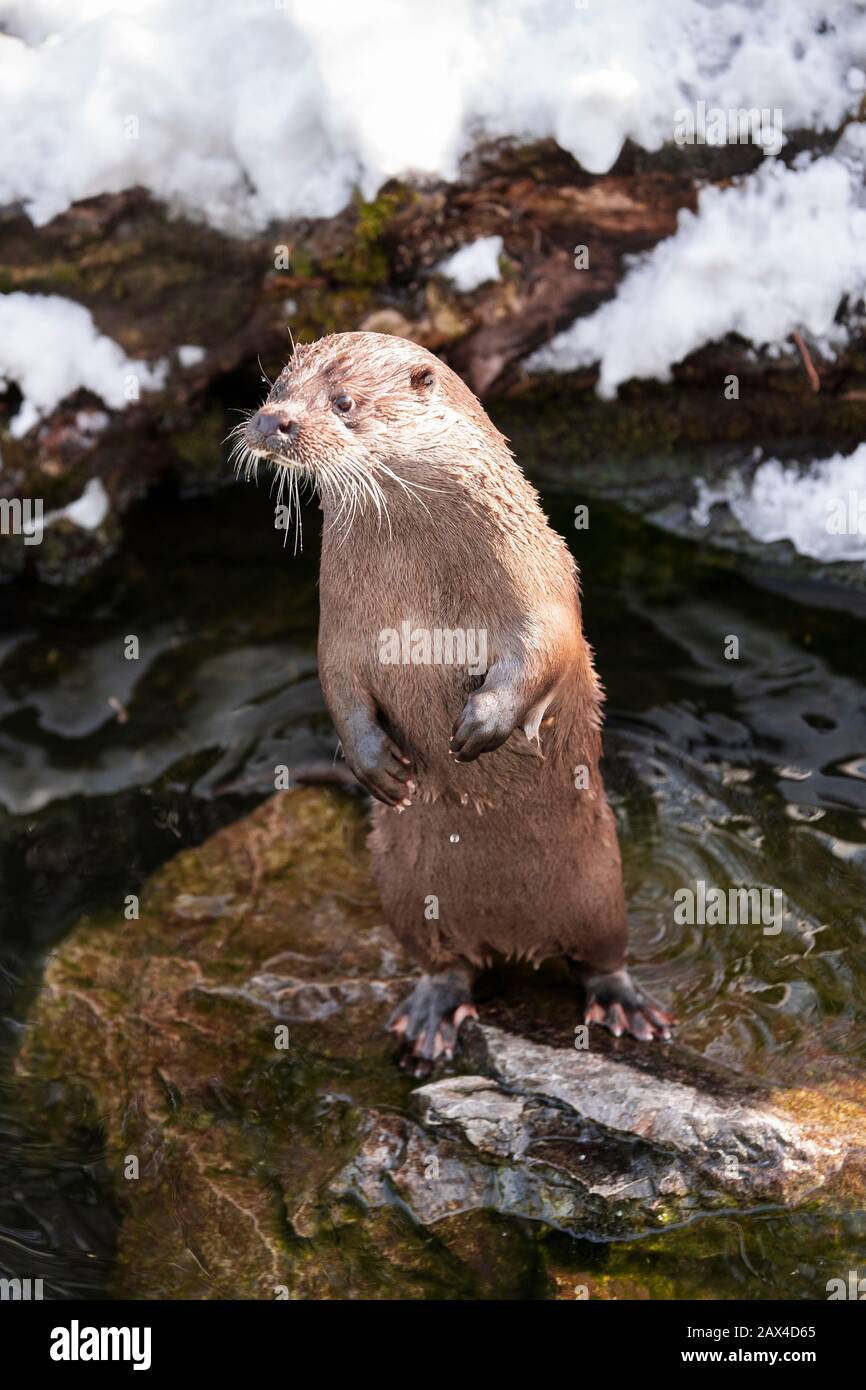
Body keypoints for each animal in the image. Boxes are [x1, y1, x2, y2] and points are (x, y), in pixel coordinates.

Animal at [240, 332, 673, 1069]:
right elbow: (338, 683)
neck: (424, 591)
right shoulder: (340, 626)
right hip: (407, 891)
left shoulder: (538, 577)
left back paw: (624, 1005)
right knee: (449, 963)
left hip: (600, 885)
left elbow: (548, 645)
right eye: (275, 389)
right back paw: (432, 1014)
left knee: (601, 956)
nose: (274, 422)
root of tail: (517, 939)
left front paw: (482, 722)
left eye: (343, 401)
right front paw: (377, 766)